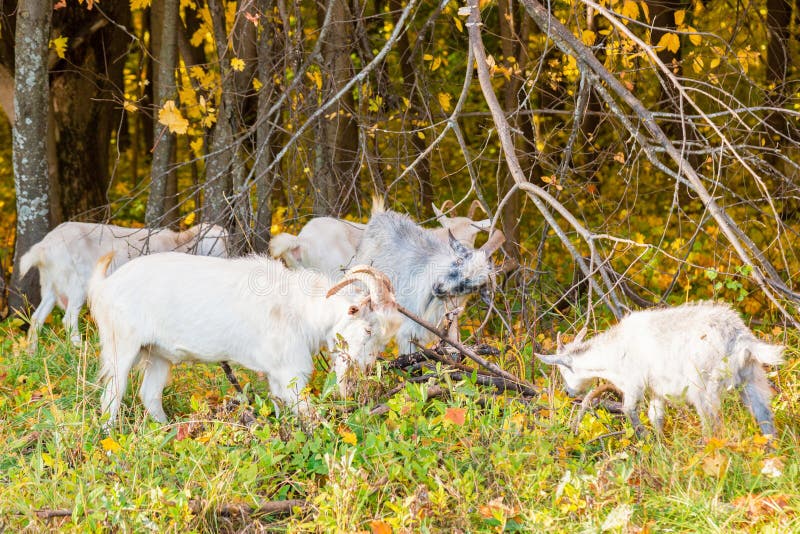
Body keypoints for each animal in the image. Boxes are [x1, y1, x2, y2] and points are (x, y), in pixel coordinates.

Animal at [20, 222, 228, 350]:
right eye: (218, 241)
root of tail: (44, 247)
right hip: (78, 284)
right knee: (68, 319)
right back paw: (79, 348)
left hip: (50, 286)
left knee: (37, 318)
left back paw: (32, 352)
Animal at [88, 253, 400, 425]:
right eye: (368, 329)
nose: (362, 372)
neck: (301, 309)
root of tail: (104, 287)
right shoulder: (292, 372)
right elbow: (308, 414)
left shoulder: (276, 375)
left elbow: (281, 408)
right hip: (122, 346)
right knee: (112, 396)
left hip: (158, 355)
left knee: (149, 395)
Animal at [536, 302, 784, 437]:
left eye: (564, 371)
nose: (568, 392)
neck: (613, 352)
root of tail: (739, 337)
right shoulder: (657, 389)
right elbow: (655, 416)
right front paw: (658, 443)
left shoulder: (634, 382)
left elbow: (629, 410)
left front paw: (644, 439)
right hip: (751, 376)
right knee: (764, 414)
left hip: (703, 383)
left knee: (712, 421)